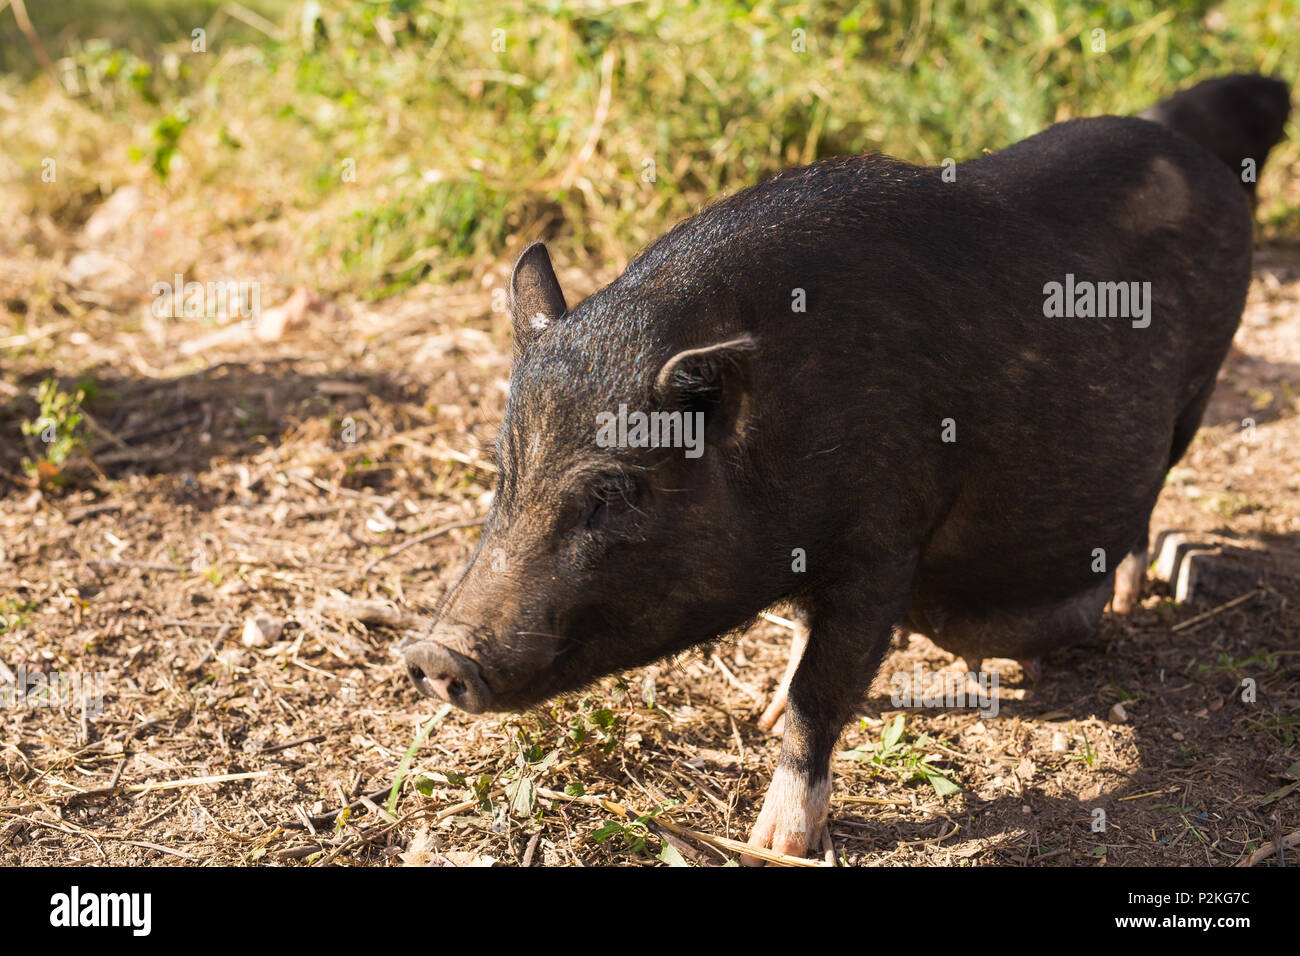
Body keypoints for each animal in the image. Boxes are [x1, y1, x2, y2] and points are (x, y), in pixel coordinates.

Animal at [403, 113, 1253, 863]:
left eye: (614, 491)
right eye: (504, 472)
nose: (434, 652)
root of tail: (1193, 151)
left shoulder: (887, 539)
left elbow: (823, 694)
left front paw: (772, 845)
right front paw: (762, 709)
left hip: (1201, 389)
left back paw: (1123, 604)